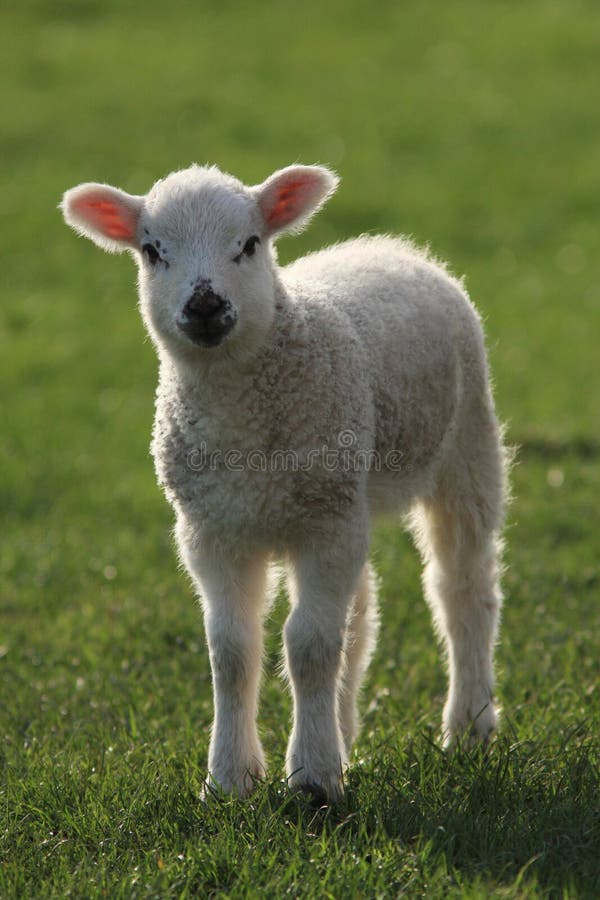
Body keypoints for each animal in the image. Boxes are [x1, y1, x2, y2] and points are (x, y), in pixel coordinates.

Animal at [61, 162, 508, 803]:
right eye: (152, 251)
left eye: (249, 244)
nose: (205, 304)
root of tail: (393, 247)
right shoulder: (212, 531)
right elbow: (232, 651)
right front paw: (230, 780)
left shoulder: (325, 525)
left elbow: (310, 647)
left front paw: (314, 781)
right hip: (348, 490)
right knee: (362, 613)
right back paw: (346, 733)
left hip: (464, 442)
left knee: (463, 589)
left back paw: (469, 728)